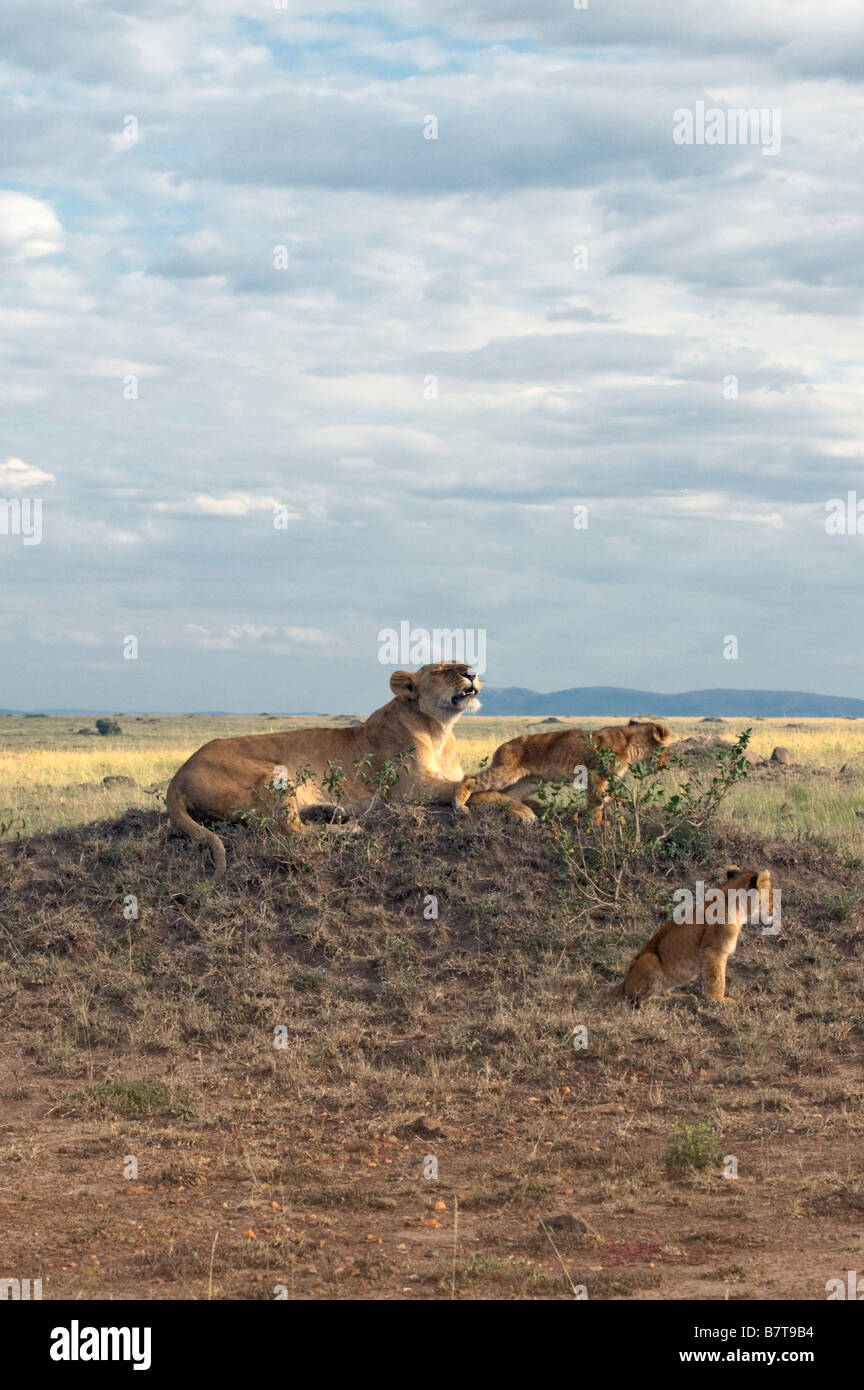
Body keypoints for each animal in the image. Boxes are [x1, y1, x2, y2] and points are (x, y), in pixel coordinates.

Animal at [167, 663, 482, 876]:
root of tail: (179, 776)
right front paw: (466, 799)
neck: (440, 730)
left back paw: (332, 810)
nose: (472, 672)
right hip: (273, 774)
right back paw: (349, 827)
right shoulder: (408, 789)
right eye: (441, 669)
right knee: (291, 831)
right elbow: (467, 782)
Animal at [452, 719, 672, 824]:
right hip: (505, 772)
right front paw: (598, 823)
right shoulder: (596, 774)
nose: (664, 764)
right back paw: (460, 804)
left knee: (501, 794)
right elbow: (596, 803)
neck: (631, 745)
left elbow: (603, 801)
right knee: (470, 779)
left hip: (528, 782)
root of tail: (502, 745)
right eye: (665, 749)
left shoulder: (606, 779)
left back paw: (521, 813)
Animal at [622, 868, 775, 1004]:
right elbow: (718, 978)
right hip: (650, 959)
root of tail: (622, 986)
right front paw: (720, 1000)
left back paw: (685, 998)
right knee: (642, 1000)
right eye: (771, 896)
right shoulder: (713, 950)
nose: (774, 910)